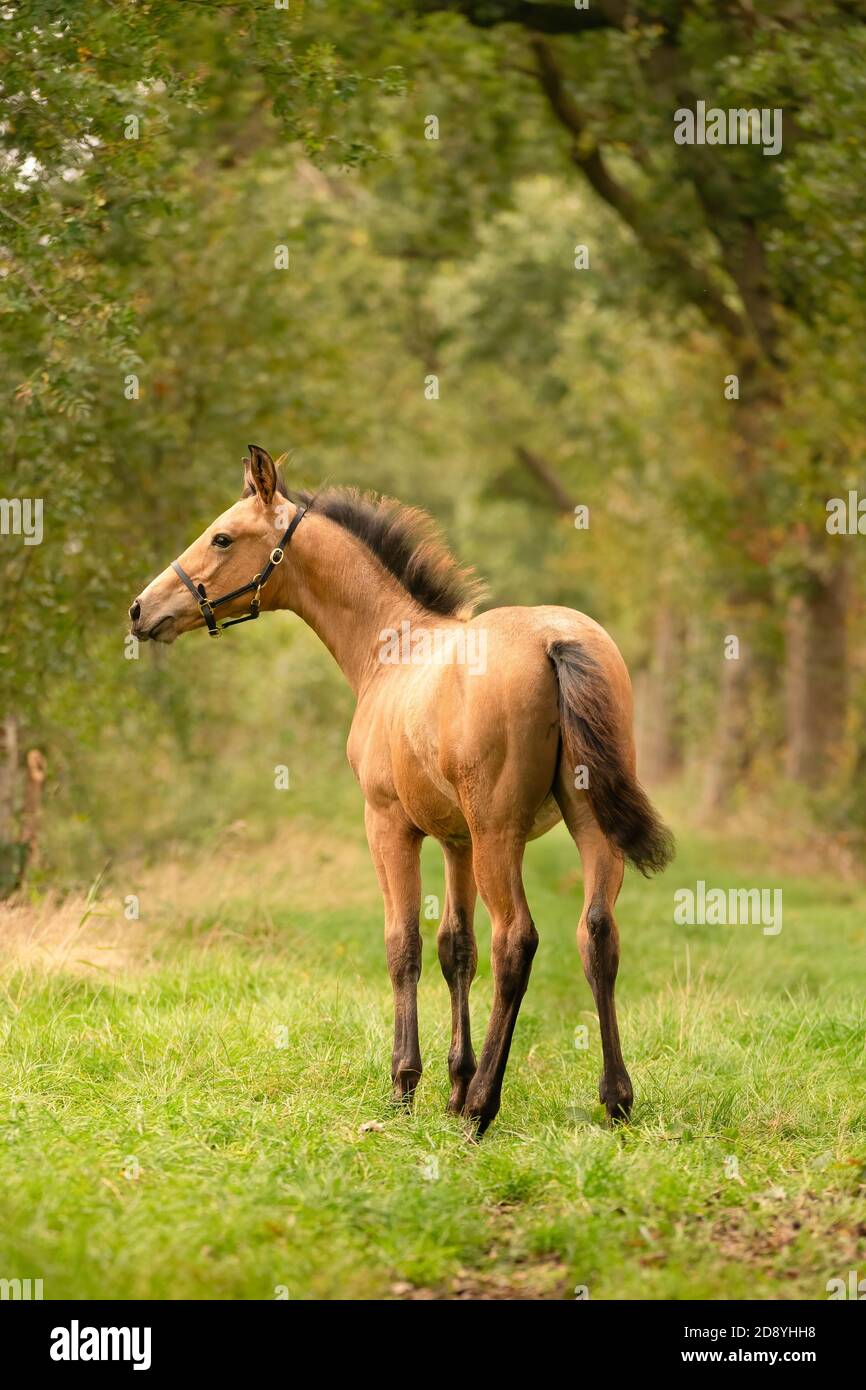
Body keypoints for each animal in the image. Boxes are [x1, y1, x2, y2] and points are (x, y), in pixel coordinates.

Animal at [129, 446, 673, 1133]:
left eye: (221, 537)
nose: (141, 610)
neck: (392, 648)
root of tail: (557, 639)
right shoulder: (455, 840)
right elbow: (455, 948)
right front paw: (452, 1081)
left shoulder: (389, 825)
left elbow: (403, 945)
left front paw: (407, 1085)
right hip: (584, 824)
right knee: (596, 933)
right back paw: (614, 1098)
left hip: (500, 833)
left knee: (517, 941)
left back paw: (482, 1109)